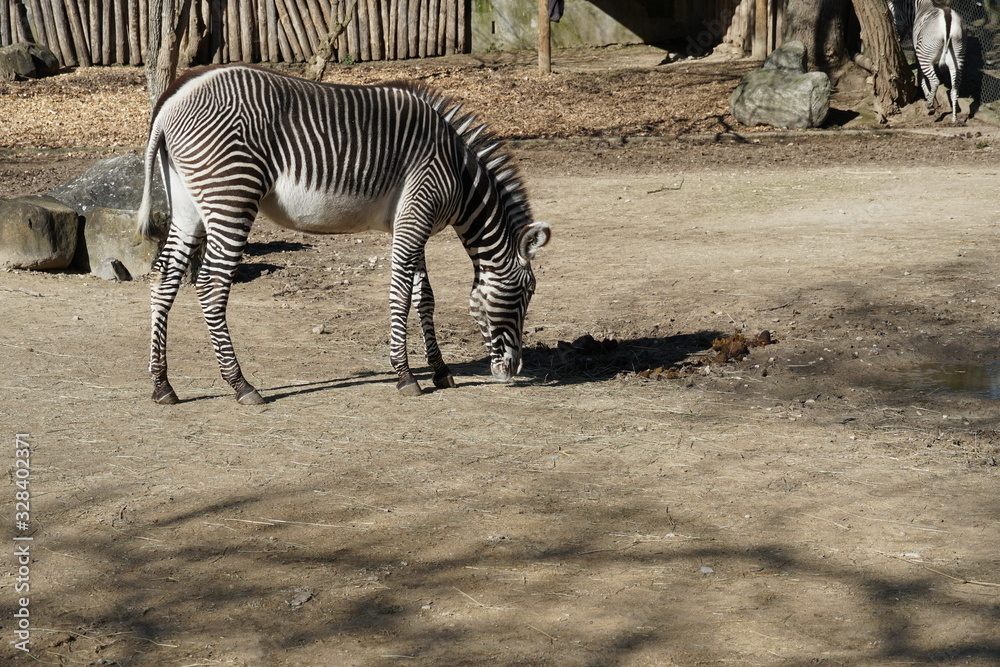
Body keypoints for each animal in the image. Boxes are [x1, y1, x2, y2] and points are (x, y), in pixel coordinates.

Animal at [136, 64, 551, 405]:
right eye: (526, 292)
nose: (514, 370)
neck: (460, 176)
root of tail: (172, 98)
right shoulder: (417, 214)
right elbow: (401, 294)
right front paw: (405, 376)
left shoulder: (412, 222)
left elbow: (425, 297)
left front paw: (441, 370)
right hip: (231, 196)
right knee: (210, 285)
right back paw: (241, 385)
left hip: (188, 207)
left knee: (164, 280)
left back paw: (162, 385)